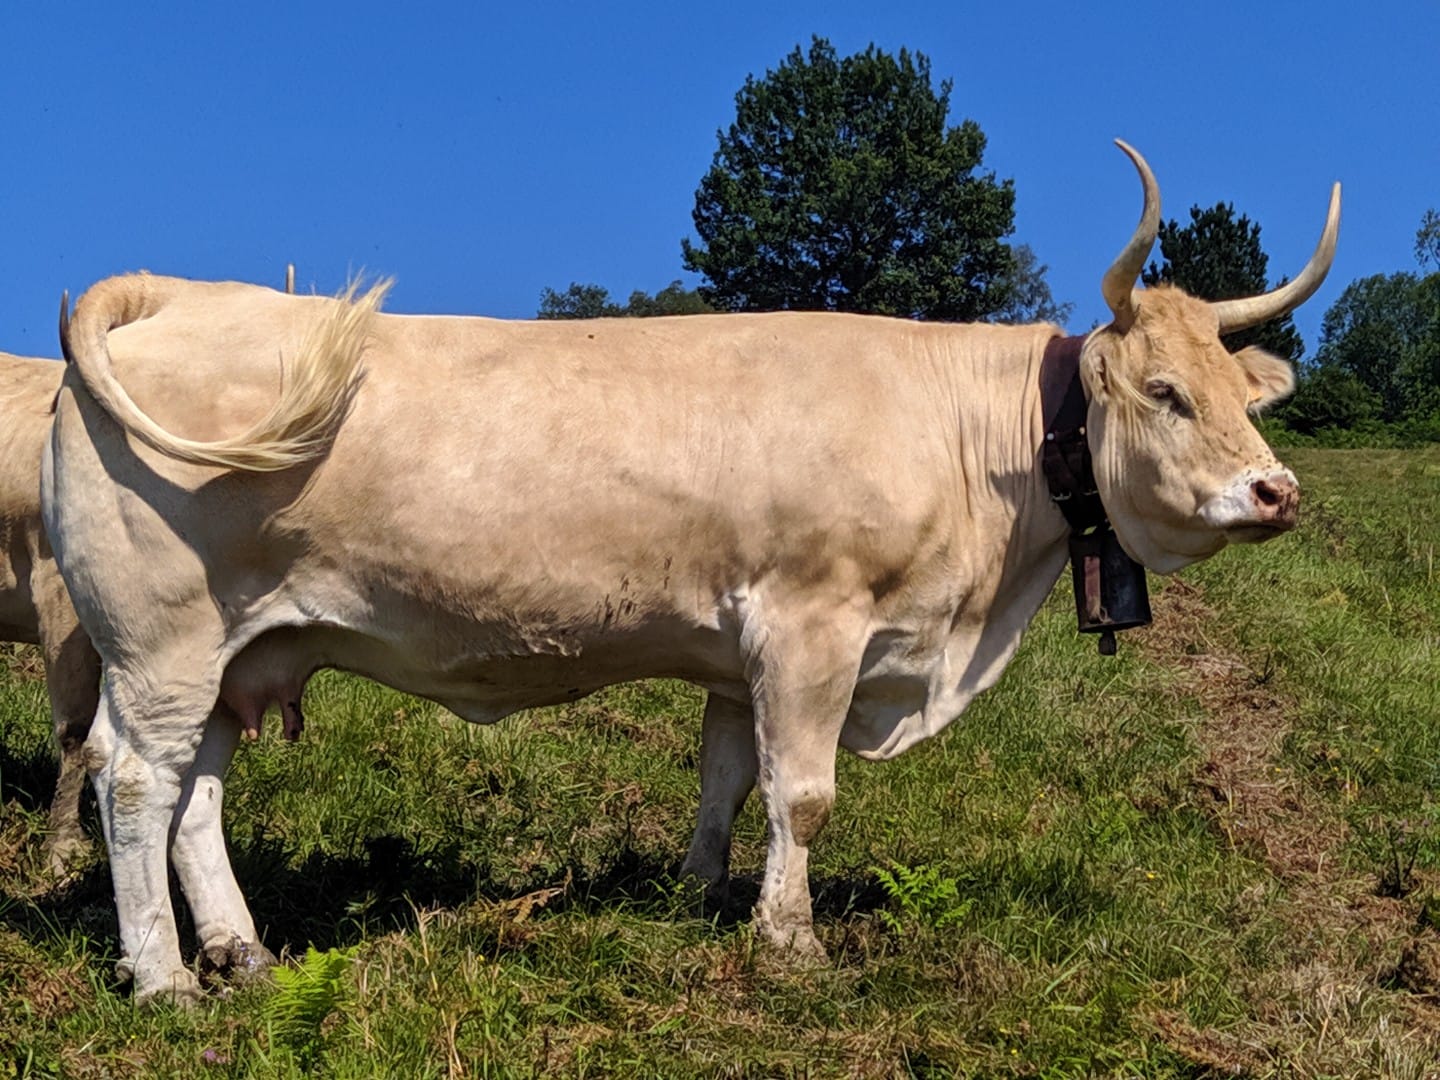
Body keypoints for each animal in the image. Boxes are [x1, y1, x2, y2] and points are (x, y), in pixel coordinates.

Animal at [43, 142, 1338, 1003]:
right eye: (1166, 393)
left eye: (1244, 395)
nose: (1276, 493)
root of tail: (178, 295)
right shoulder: (813, 626)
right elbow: (802, 792)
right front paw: (792, 941)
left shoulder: (738, 651)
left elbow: (727, 777)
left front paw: (705, 896)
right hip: (161, 643)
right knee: (137, 784)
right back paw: (165, 981)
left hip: (239, 650)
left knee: (199, 795)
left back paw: (243, 951)